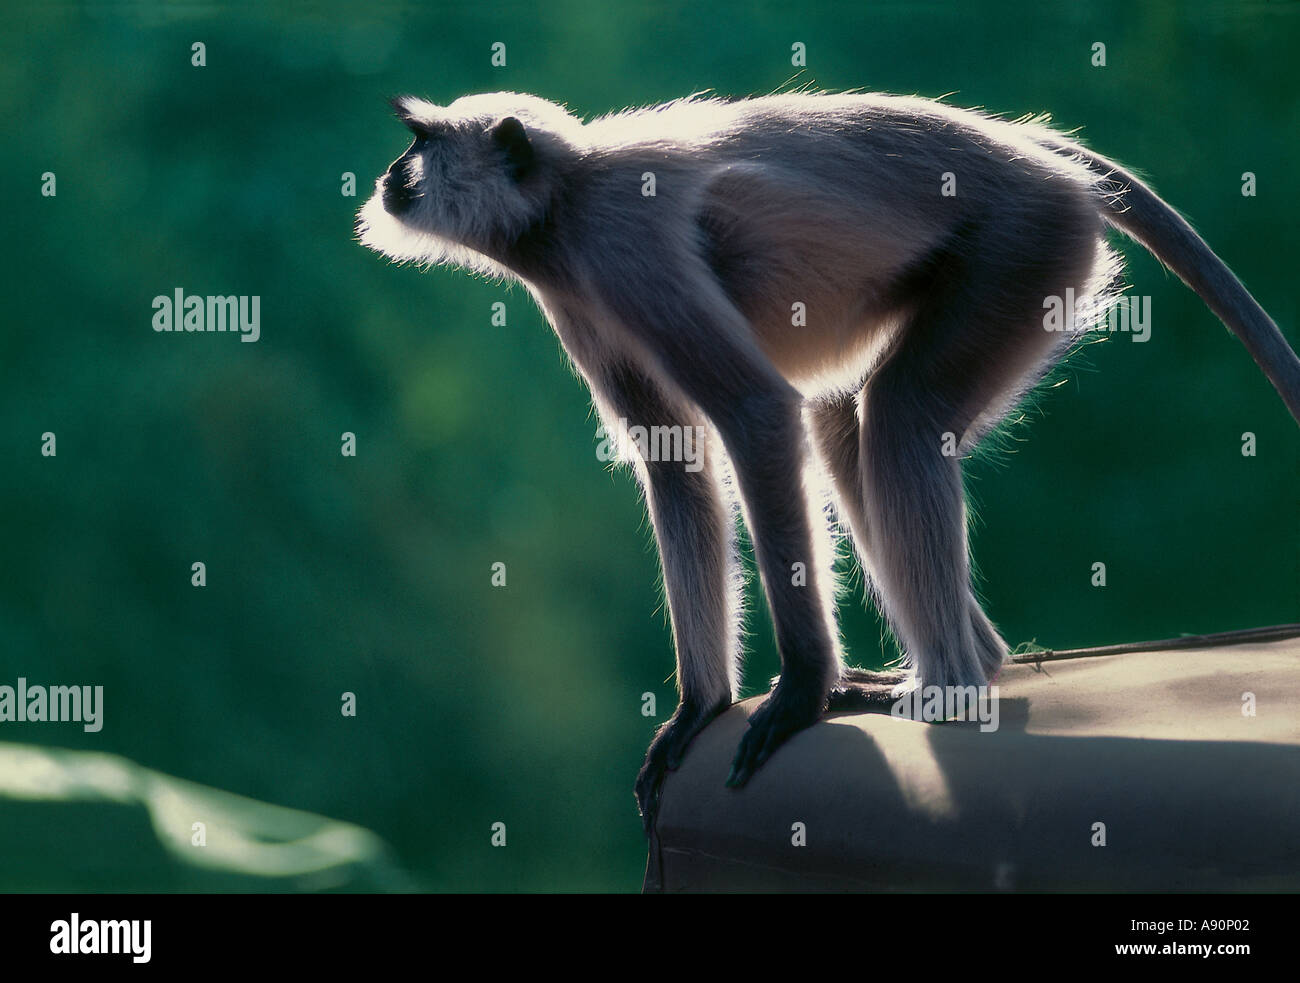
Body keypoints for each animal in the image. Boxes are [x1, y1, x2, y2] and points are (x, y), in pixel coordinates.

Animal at [356, 90, 1300, 832]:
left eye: (422, 142)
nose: (389, 173)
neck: (563, 198)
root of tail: (1030, 150)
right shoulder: (574, 290)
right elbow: (675, 462)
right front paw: (702, 706)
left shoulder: (621, 243)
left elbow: (757, 415)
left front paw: (803, 689)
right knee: (851, 428)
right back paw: (965, 663)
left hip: (1026, 246)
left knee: (898, 419)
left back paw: (949, 687)